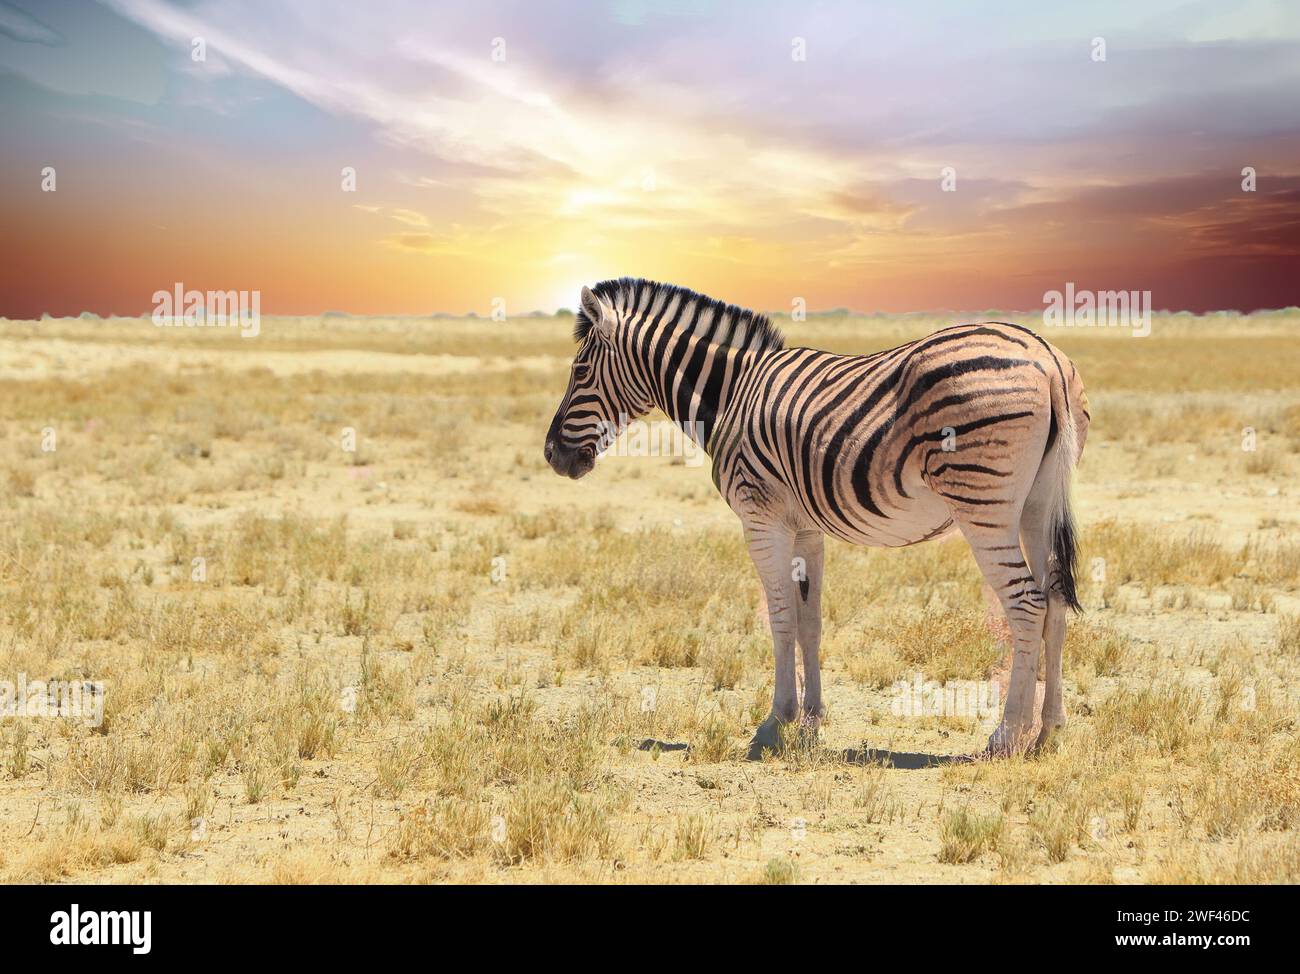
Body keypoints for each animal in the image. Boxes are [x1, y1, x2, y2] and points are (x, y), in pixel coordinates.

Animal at [544, 278, 1089, 759]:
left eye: (580, 371)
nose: (551, 455)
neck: (732, 394)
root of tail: (1046, 359)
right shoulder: (806, 528)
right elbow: (810, 621)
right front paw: (810, 721)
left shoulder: (760, 519)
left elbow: (780, 617)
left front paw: (774, 722)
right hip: (1036, 506)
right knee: (1055, 601)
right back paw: (1048, 732)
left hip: (984, 507)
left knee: (1026, 605)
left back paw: (1006, 736)